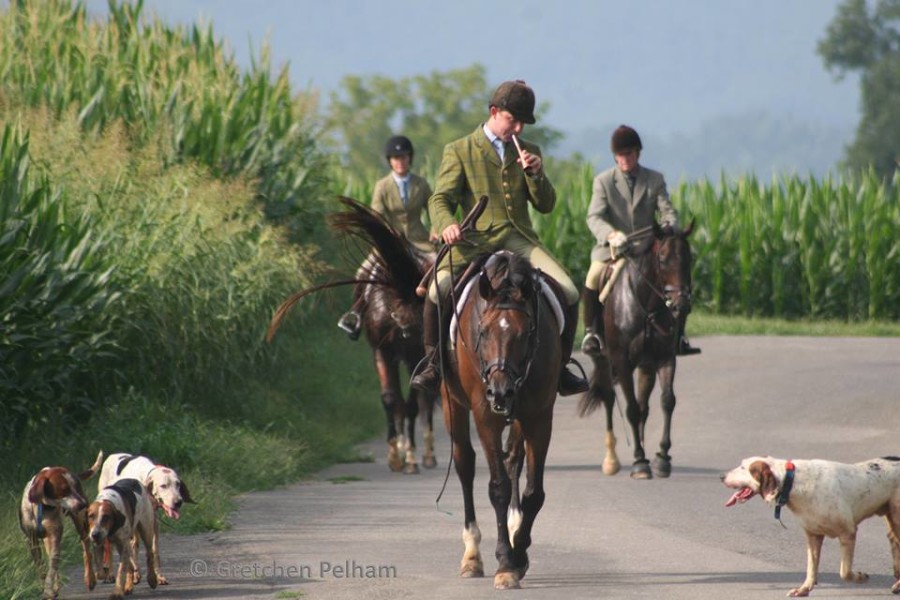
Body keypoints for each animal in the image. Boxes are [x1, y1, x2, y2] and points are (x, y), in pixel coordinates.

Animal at [267, 197, 438, 474]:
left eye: (423, 293)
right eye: (396, 293)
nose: (407, 328)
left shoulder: (416, 355)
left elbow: (413, 404)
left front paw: (411, 457)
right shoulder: (382, 351)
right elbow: (391, 399)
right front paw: (395, 455)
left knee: (426, 401)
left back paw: (427, 454)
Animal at [438, 250, 562, 589]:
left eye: (526, 333)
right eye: (483, 332)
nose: (500, 392)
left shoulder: (539, 416)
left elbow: (534, 493)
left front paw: (519, 556)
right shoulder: (484, 415)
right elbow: (498, 487)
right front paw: (506, 563)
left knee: (513, 459)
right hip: (452, 404)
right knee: (465, 463)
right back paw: (471, 555)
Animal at [578, 222, 695, 479]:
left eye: (690, 258)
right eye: (663, 259)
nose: (681, 306)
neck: (646, 306)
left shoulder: (665, 358)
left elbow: (667, 401)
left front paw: (662, 458)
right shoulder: (621, 361)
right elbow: (630, 408)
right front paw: (640, 461)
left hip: (646, 365)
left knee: (644, 405)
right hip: (605, 361)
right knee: (610, 398)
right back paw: (612, 460)